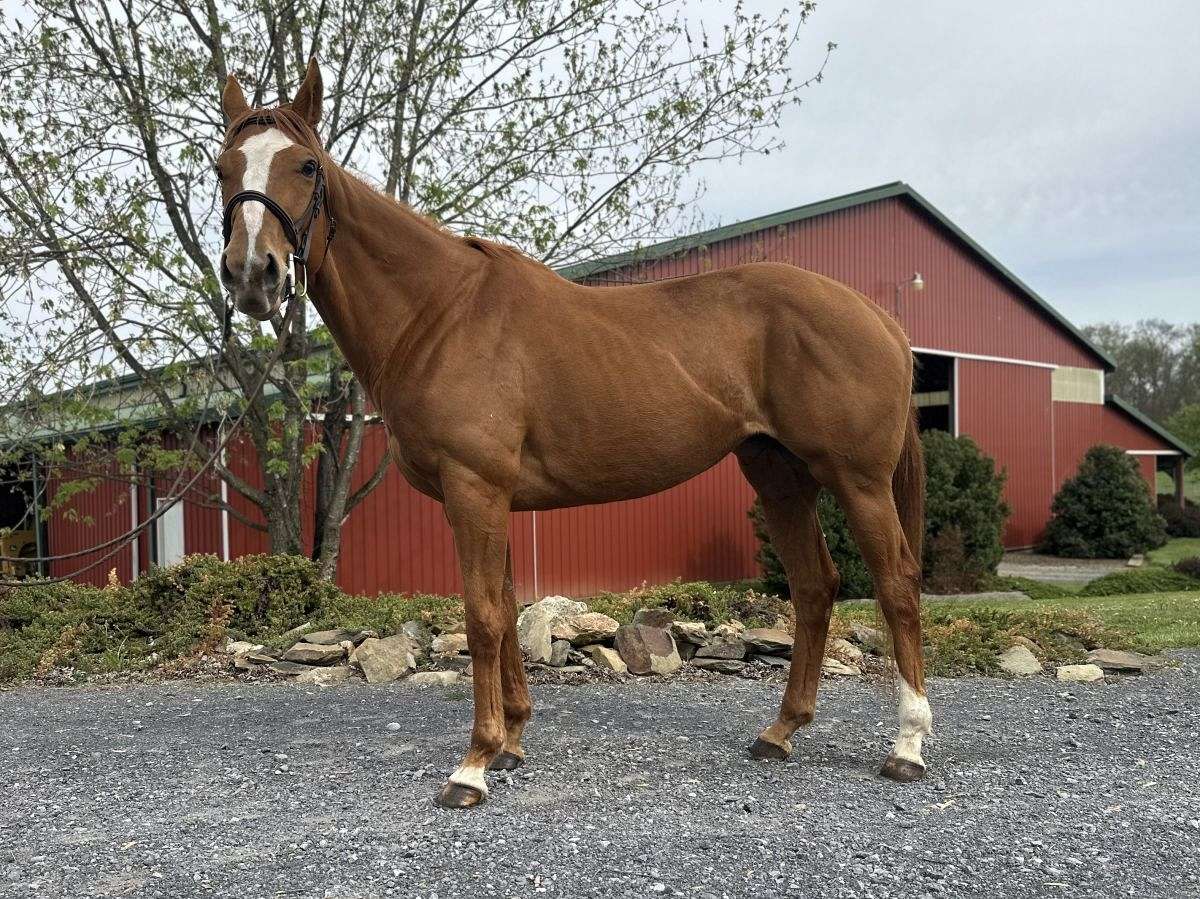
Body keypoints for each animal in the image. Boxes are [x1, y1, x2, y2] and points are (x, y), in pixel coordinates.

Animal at [215, 60, 932, 809]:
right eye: (221, 167)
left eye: (305, 164)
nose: (252, 273)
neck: (439, 311)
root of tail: (879, 318)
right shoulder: (486, 496)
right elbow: (504, 610)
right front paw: (510, 743)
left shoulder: (474, 489)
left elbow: (482, 617)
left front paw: (471, 766)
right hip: (778, 475)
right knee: (816, 587)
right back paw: (780, 732)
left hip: (858, 480)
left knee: (897, 585)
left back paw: (907, 746)